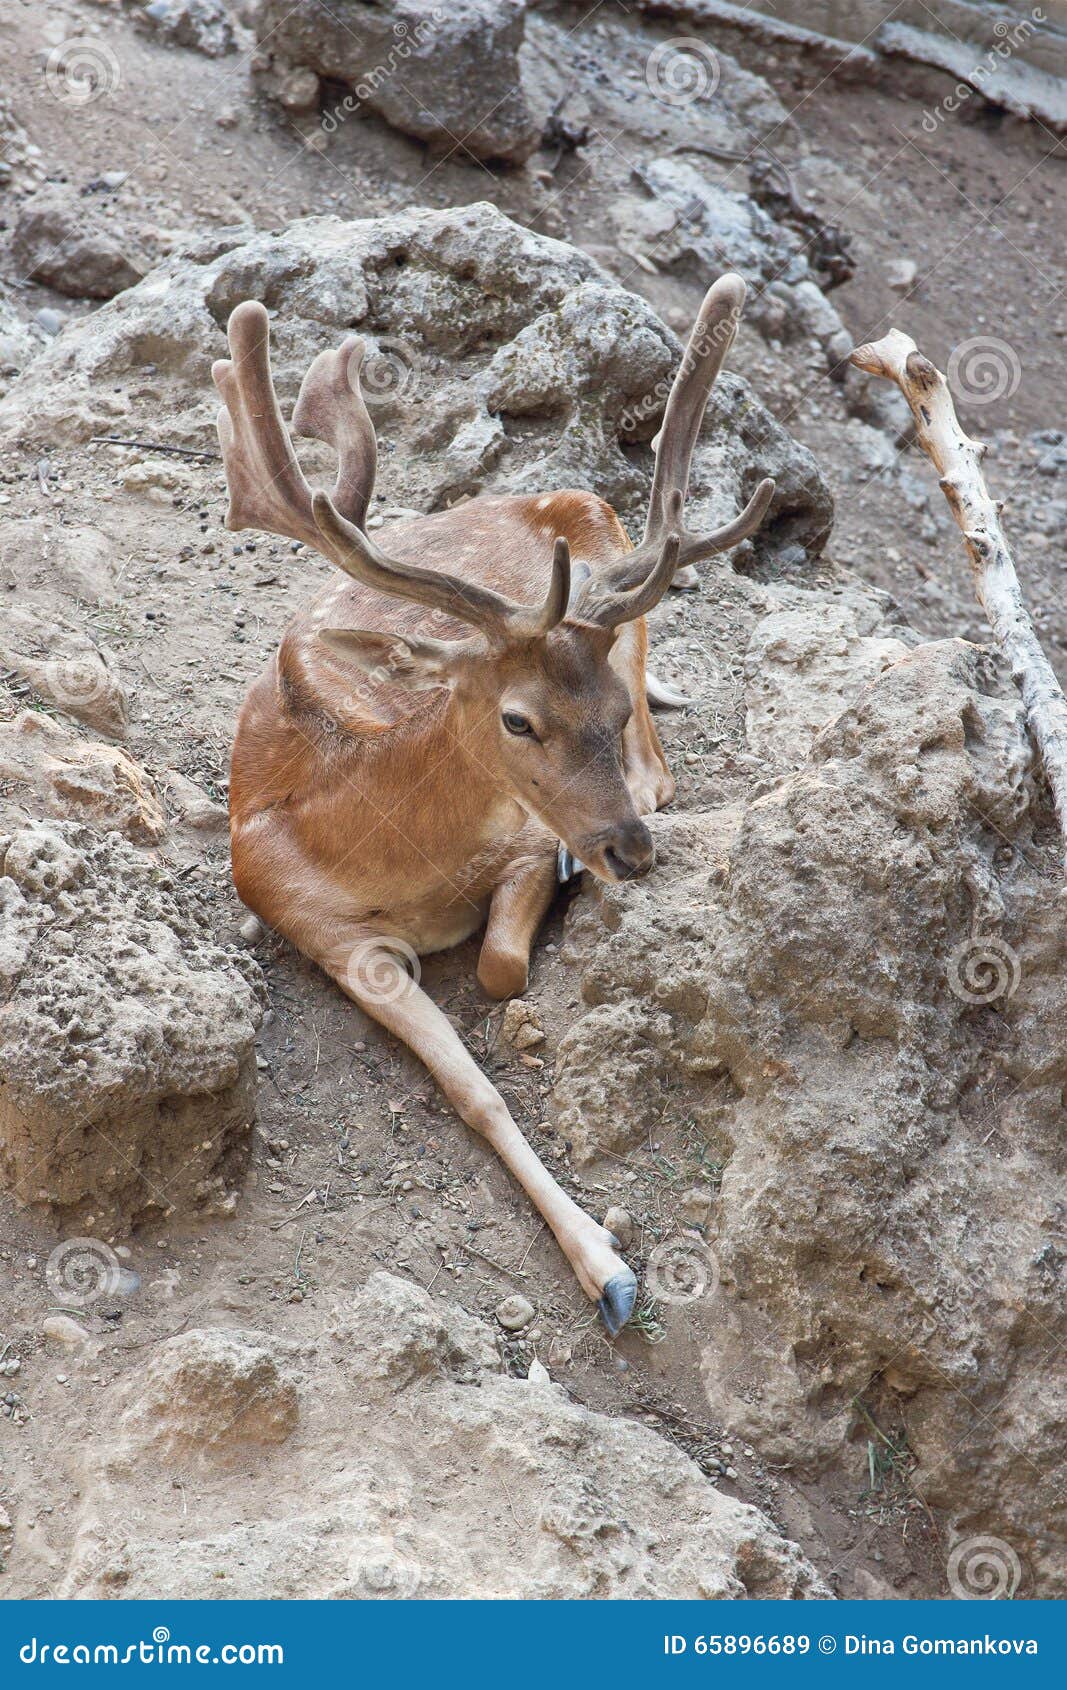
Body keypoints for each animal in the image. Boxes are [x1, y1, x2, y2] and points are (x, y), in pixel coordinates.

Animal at [212, 272, 773, 1336]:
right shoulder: (320, 927)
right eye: (518, 720)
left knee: (662, 767)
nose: (628, 853)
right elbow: (471, 1089)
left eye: (601, 708)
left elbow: (501, 966)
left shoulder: (520, 834)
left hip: (624, 593)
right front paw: (606, 1268)